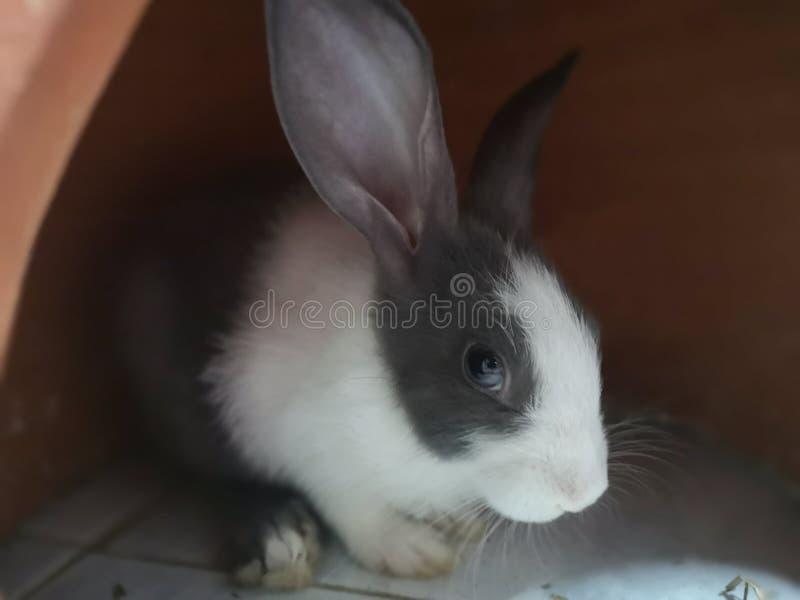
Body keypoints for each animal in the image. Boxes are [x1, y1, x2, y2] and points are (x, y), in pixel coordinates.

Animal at [116, 0, 608, 590]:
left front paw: (453, 520)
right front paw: (411, 550)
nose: (583, 492)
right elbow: (356, 511)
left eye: (587, 323)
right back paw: (277, 538)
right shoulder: (310, 450)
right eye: (485, 366)